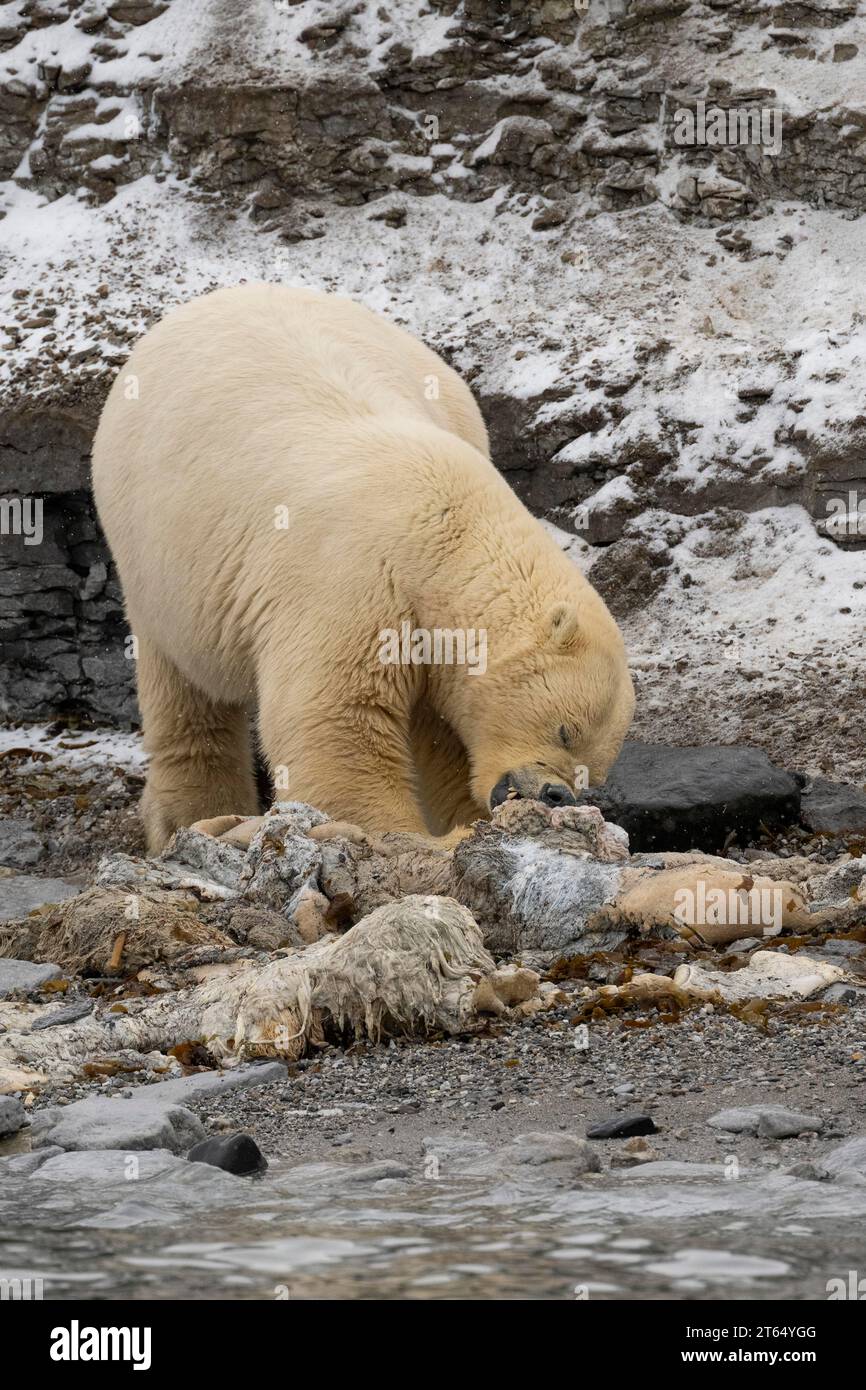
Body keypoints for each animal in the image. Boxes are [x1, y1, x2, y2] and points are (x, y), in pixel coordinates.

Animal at [92, 284, 635, 852]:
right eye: (564, 729)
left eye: (592, 773)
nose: (556, 795)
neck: (445, 531)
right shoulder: (356, 576)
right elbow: (335, 716)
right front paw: (408, 833)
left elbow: (441, 736)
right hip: (157, 551)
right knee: (184, 688)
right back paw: (195, 815)